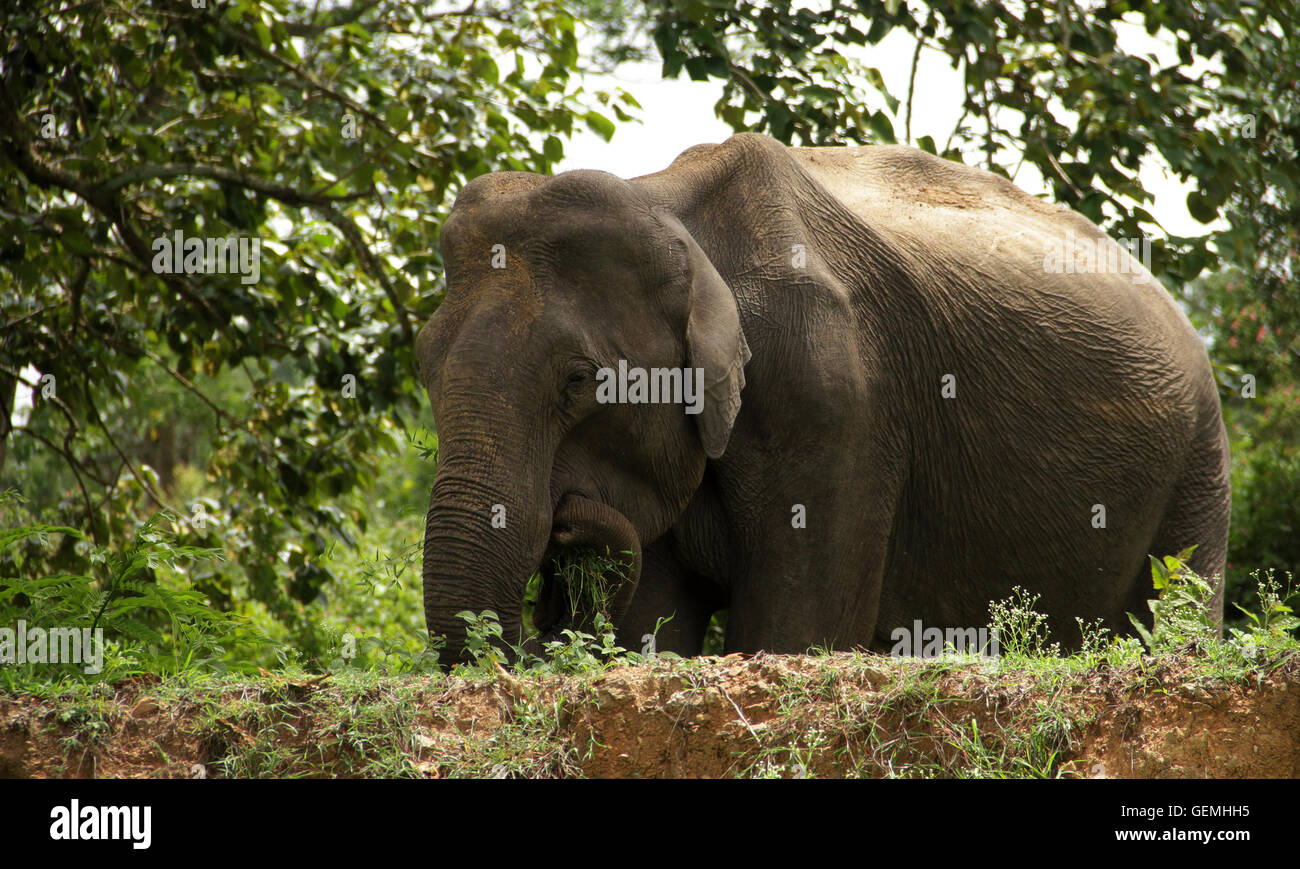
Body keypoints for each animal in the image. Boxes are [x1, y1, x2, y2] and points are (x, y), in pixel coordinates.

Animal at [416, 132, 1230, 664]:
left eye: (579, 381)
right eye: (425, 369)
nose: (567, 524)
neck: (669, 207)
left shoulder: (838, 398)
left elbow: (795, 630)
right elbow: (658, 623)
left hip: (1200, 454)